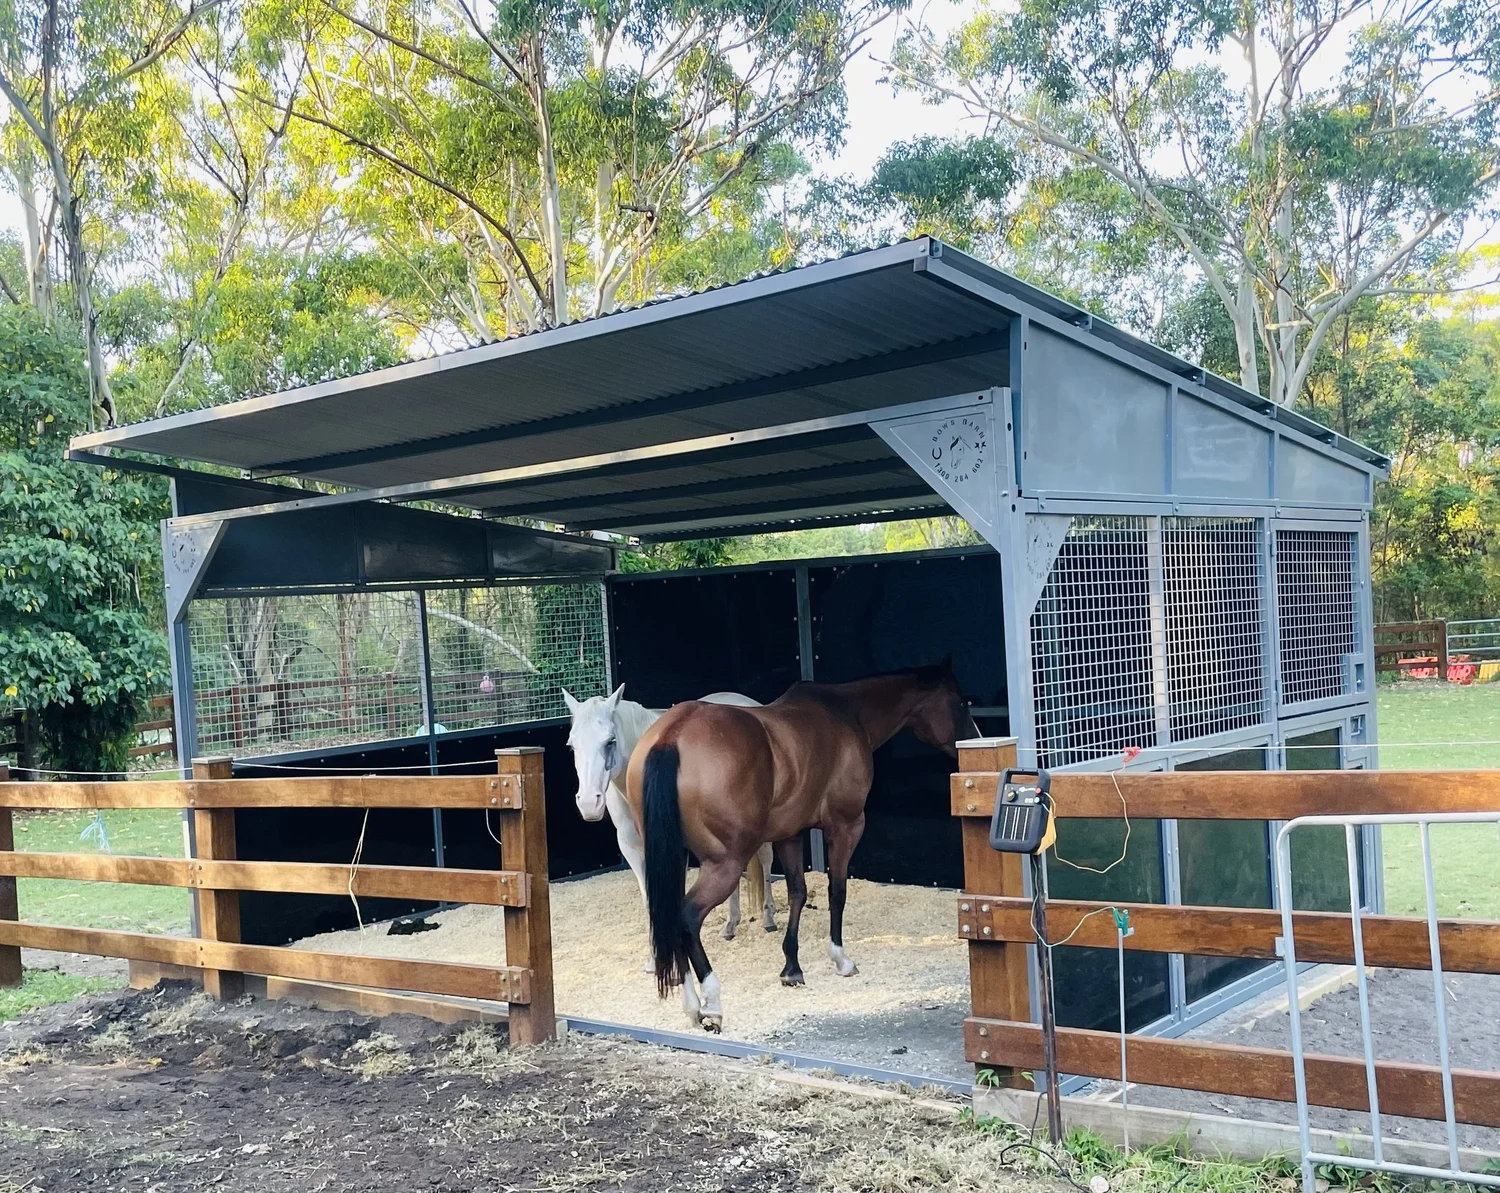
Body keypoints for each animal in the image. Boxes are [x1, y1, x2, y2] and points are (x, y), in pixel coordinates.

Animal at [562, 686, 777, 951]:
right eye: (572, 746)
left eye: (610, 741)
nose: (589, 803)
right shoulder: (631, 849)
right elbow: (650, 902)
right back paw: (730, 924)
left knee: (766, 859)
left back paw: (768, 918)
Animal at [625, 660, 978, 1032]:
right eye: (959, 701)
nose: (972, 741)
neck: (846, 713)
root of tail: (671, 736)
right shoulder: (846, 827)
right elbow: (837, 890)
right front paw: (840, 958)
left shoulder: (789, 834)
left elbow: (798, 892)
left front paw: (792, 967)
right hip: (725, 864)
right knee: (688, 918)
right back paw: (712, 1003)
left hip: (673, 859)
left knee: (670, 917)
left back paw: (692, 1006)